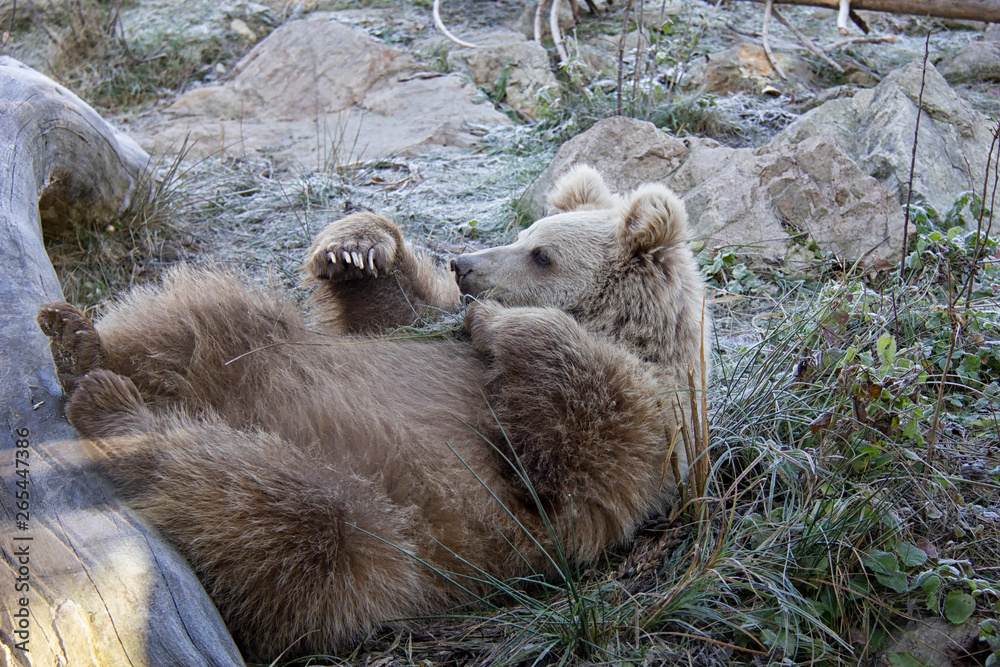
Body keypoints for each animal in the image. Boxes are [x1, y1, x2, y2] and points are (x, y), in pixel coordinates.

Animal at [36, 165, 710, 662]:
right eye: (526, 232)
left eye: (541, 254)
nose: (464, 264)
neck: (626, 334)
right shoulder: (427, 335)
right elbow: (393, 314)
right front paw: (357, 248)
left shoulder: (640, 440)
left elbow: (567, 445)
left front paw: (505, 320)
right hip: (251, 355)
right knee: (197, 320)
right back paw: (78, 342)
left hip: (383, 534)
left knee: (289, 514)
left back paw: (116, 412)